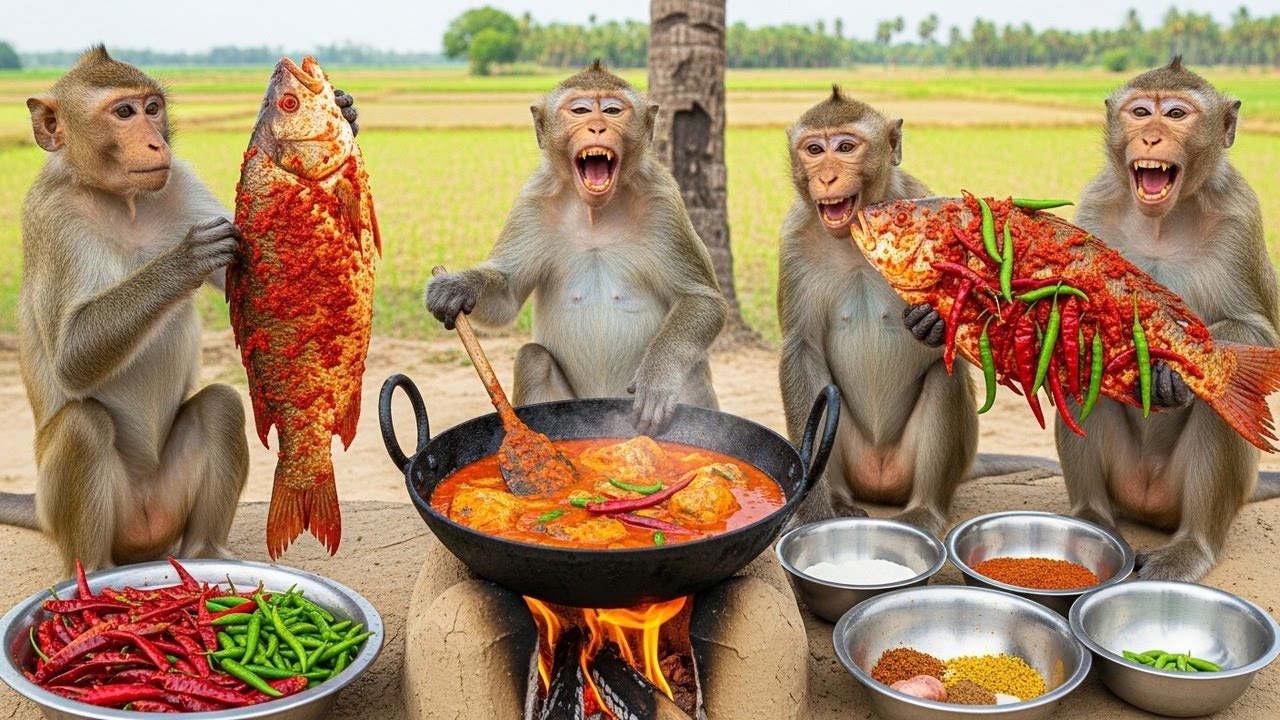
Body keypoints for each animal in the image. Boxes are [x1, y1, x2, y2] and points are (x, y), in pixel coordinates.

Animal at [0, 47, 359, 573]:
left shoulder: (179, 179)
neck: (123, 201)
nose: (154, 143)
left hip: (170, 504)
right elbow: (70, 358)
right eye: (123, 113)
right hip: (73, 505)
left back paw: (205, 551)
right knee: (83, 426)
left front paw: (349, 110)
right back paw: (93, 572)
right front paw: (186, 258)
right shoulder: (49, 217)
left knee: (221, 405)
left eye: (152, 108)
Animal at [426, 61, 726, 435]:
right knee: (533, 358)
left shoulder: (664, 202)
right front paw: (459, 286)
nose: (597, 126)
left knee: (694, 365)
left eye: (612, 110)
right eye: (580, 110)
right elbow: (507, 297)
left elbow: (702, 298)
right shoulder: (532, 201)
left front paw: (657, 377)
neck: (595, 213)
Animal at [1059, 57, 1280, 581]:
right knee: (1078, 362)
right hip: (1121, 478)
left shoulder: (1241, 216)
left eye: (1176, 114)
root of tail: (1145, 502)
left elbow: (1262, 334)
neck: (1161, 221)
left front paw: (1172, 367)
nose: (1153, 137)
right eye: (1141, 112)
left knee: (1225, 392)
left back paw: (1191, 546)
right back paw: (1091, 518)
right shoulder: (1093, 207)